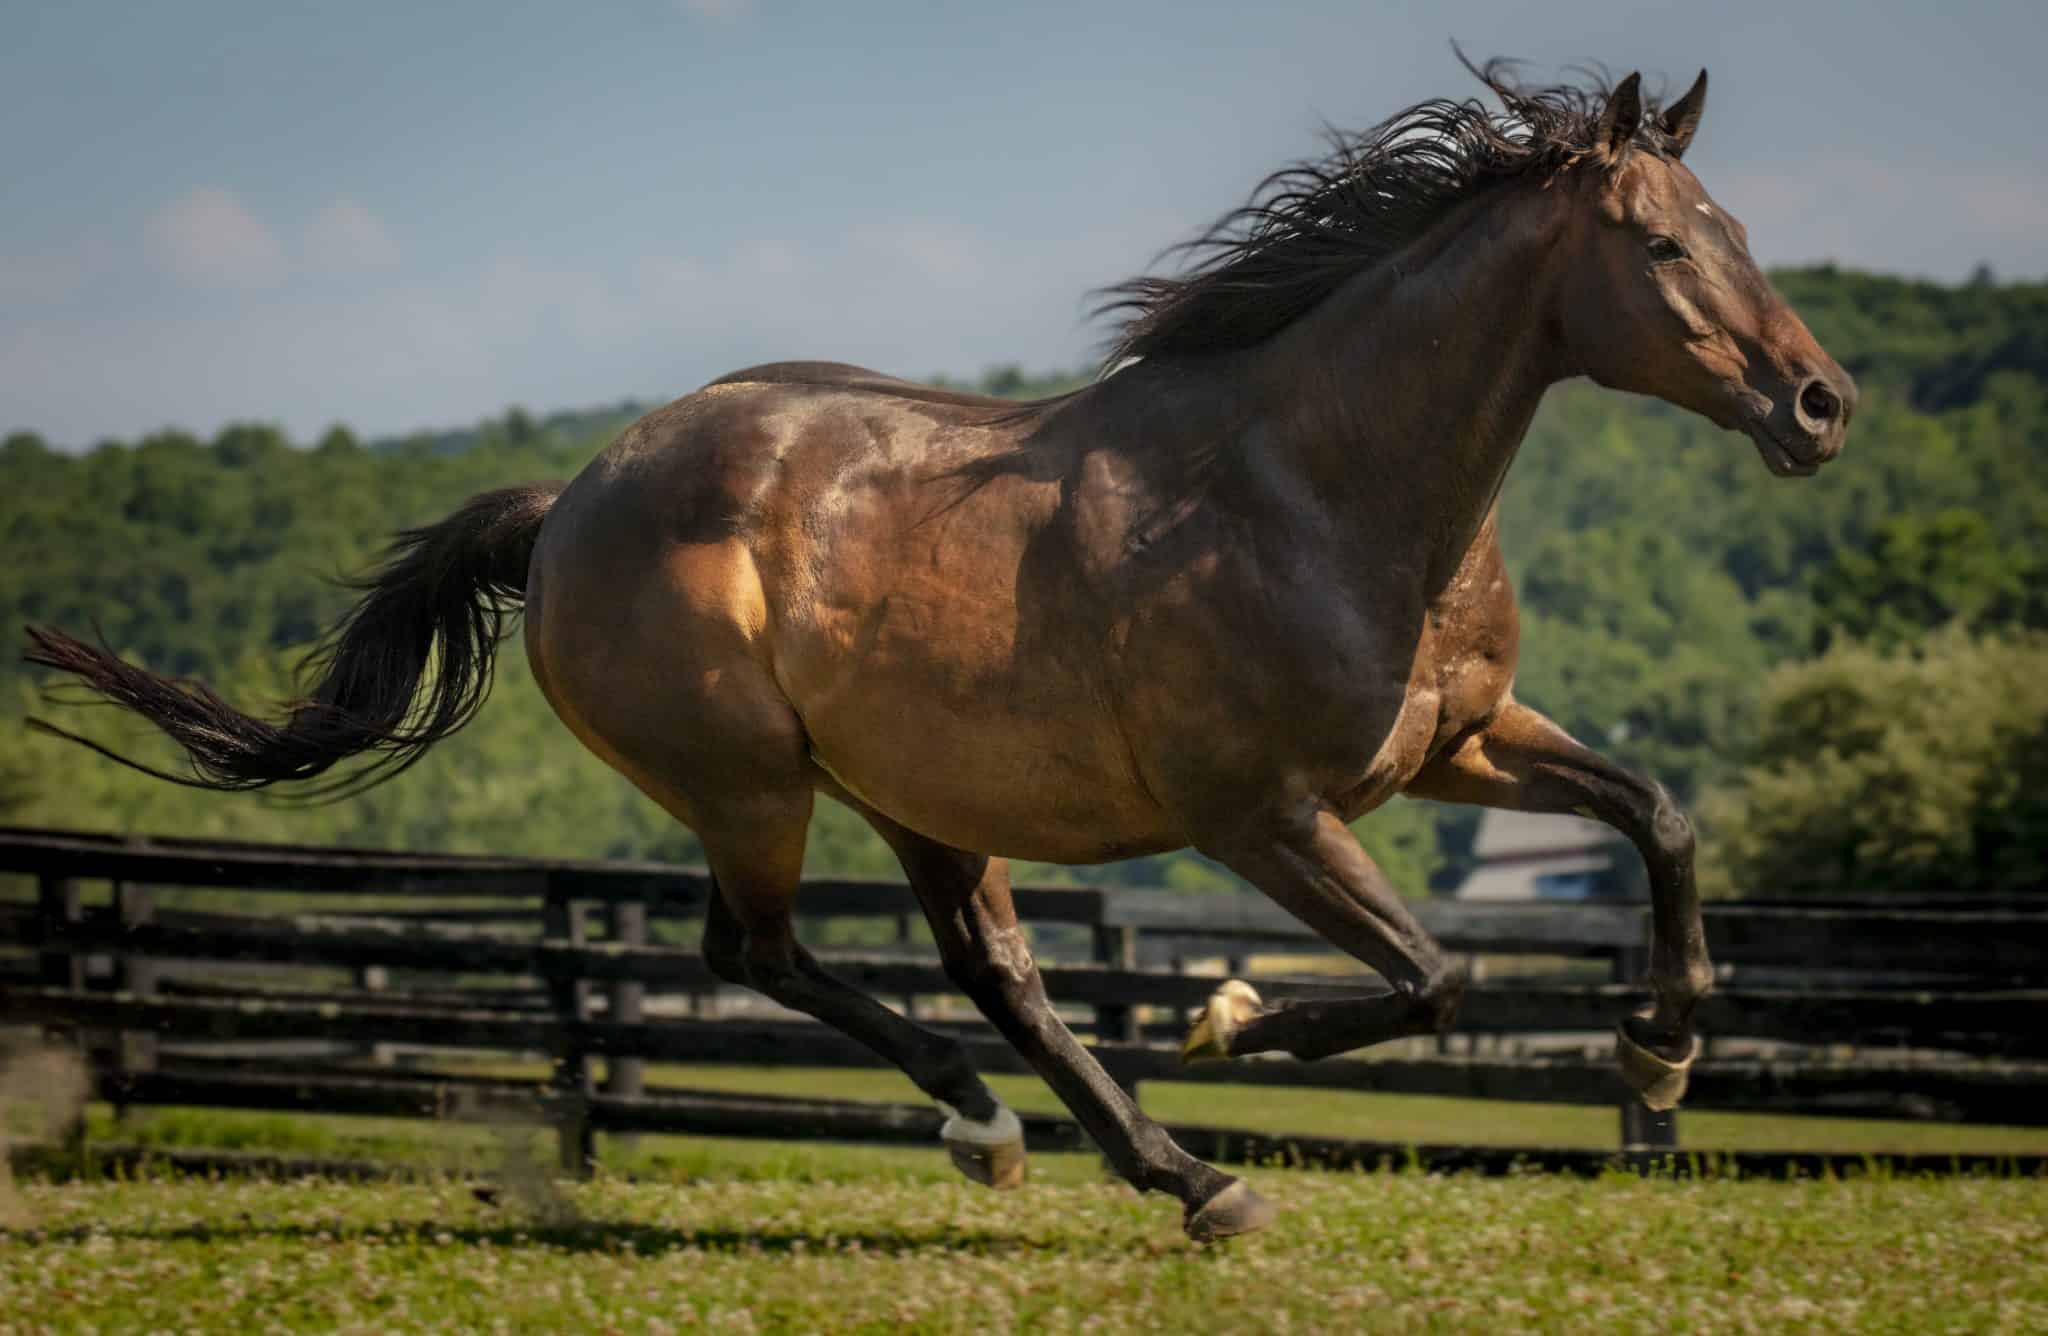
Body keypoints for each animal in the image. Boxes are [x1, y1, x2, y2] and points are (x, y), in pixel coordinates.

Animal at [26, 61, 1854, 1241]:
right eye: (1664, 244)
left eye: (1737, 224)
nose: (1819, 403)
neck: (1320, 484)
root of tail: (561, 513)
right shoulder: (1259, 813)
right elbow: (1430, 976)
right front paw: (1230, 1022)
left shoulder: (1459, 743)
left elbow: (1660, 819)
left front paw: (1663, 1048)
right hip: (756, 786)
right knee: (765, 955)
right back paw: (1012, 1133)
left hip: (917, 798)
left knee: (994, 973)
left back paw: (1177, 1177)